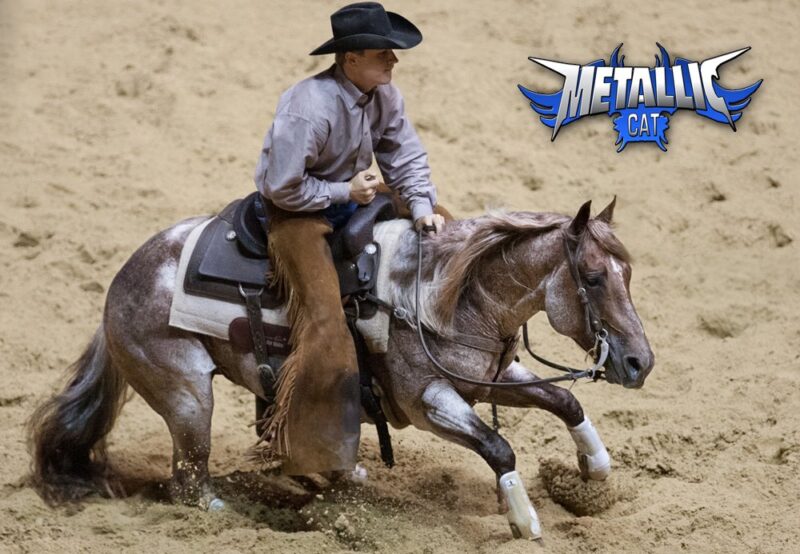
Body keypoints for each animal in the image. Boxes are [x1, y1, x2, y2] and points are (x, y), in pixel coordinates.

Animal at [28, 198, 654, 541]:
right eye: (593, 277)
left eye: (629, 272)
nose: (639, 362)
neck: (446, 295)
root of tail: (122, 281)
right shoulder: (428, 401)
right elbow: (499, 448)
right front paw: (524, 521)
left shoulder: (488, 379)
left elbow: (567, 401)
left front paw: (595, 471)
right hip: (187, 398)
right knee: (188, 479)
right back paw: (231, 512)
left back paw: (338, 474)